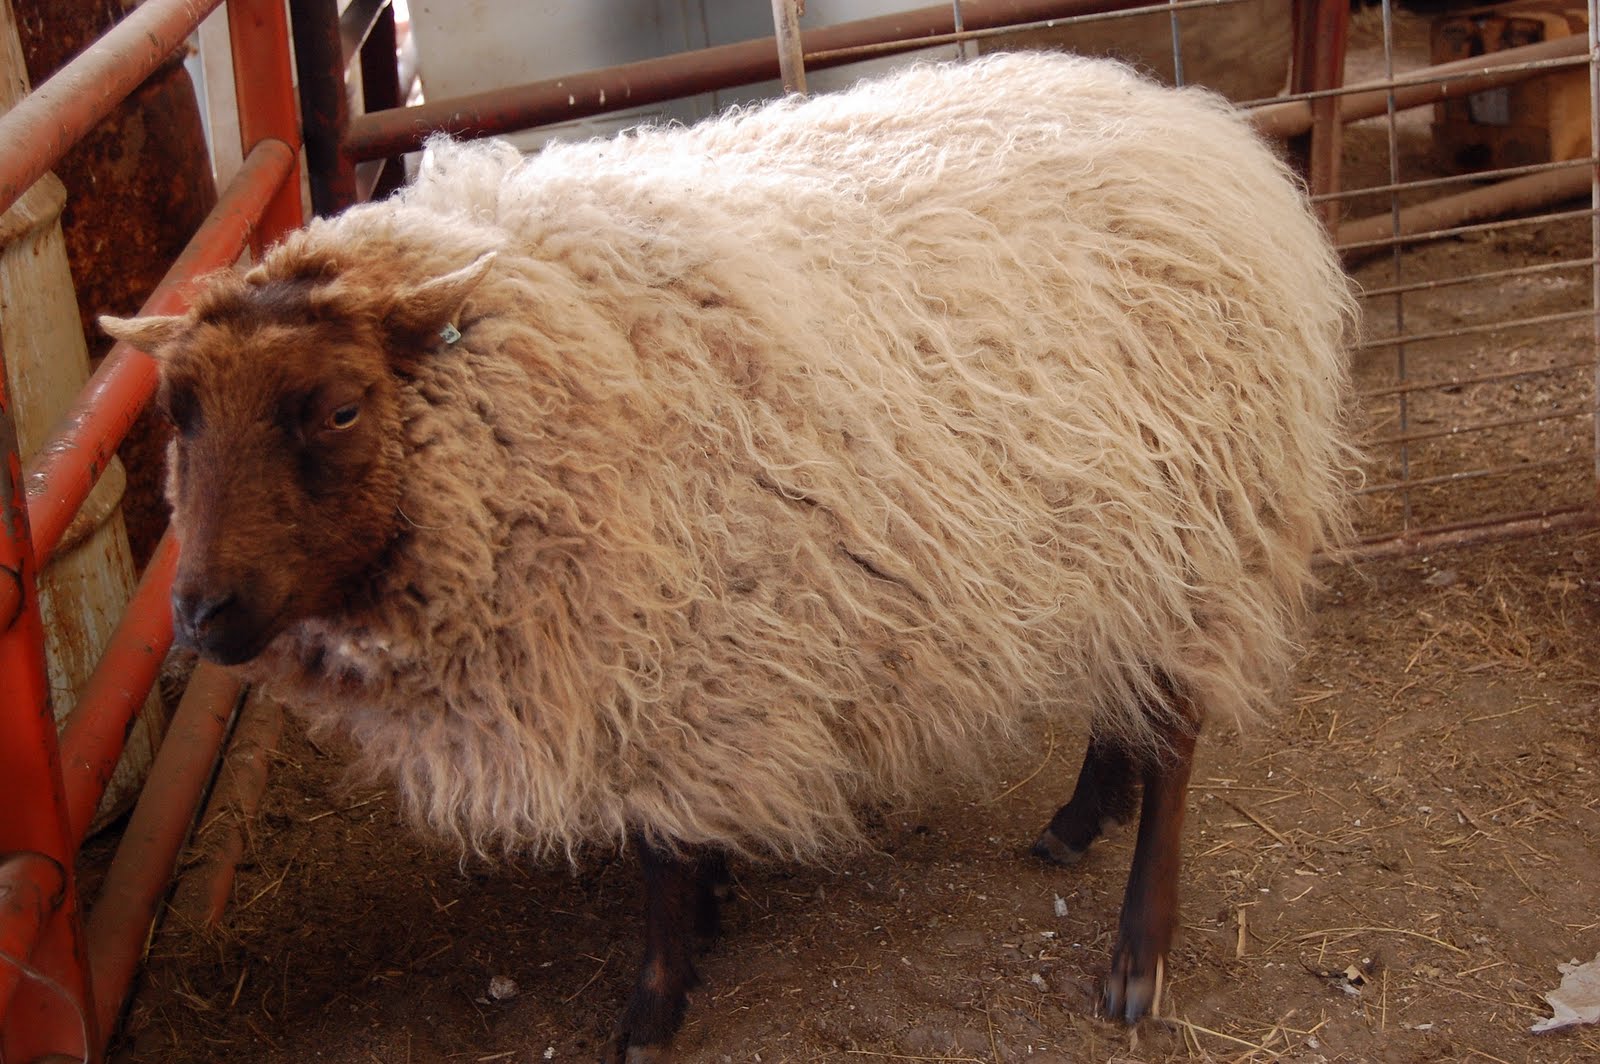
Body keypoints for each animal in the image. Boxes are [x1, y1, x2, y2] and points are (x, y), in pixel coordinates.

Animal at [102, 50, 1355, 1060]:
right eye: (178, 414)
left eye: (337, 409)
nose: (200, 612)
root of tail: (1202, 130)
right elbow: (677, 846)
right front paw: (709, 917)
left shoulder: (688, 656)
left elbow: (658, 853)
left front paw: (654, 1003)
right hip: (1124, 539)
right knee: (1121, 697)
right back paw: (1076, 816)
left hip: (1209, 526)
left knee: (1175, 737)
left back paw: (1136, 953)